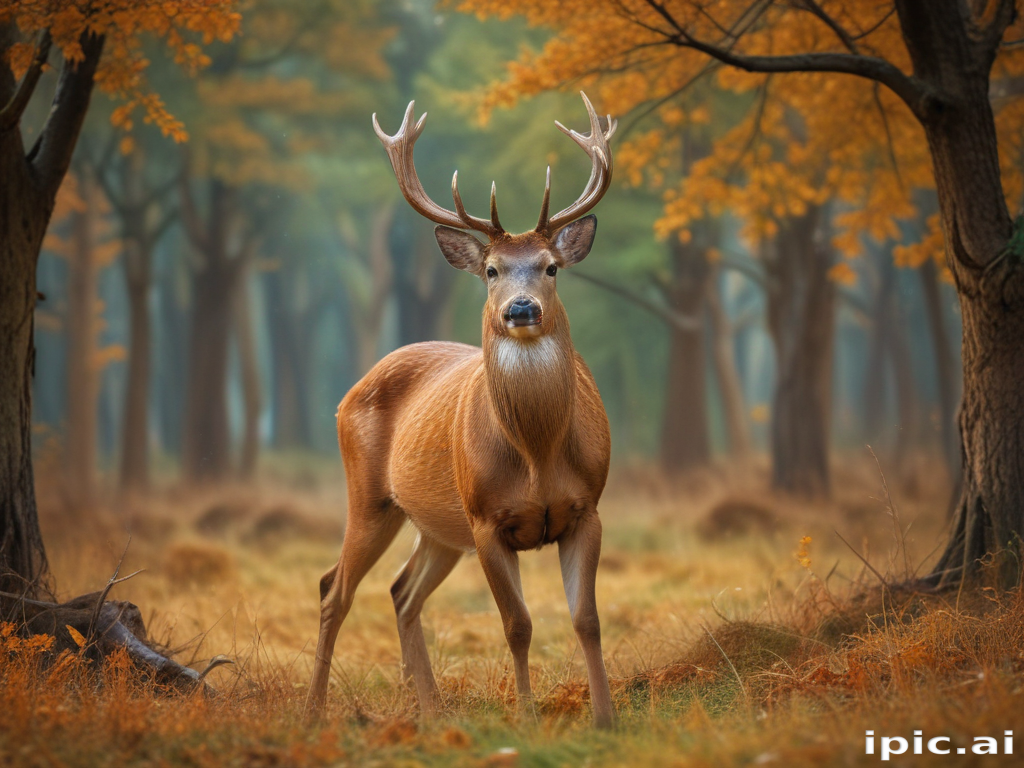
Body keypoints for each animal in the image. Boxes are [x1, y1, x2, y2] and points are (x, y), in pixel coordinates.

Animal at [304, 92, 617, 729]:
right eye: (492, 270)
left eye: (550, 266)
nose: (520, 309)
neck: (537, 455)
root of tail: (350, 391)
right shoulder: (486, 518)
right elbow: (517, 624)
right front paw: (527, 717)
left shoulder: (587, 507)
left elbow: (587, 620)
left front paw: (604, 718)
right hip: (372, 496)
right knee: (333, 588)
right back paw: (315, 711)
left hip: (438, 524)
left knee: (401, 593)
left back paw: (431, 711)